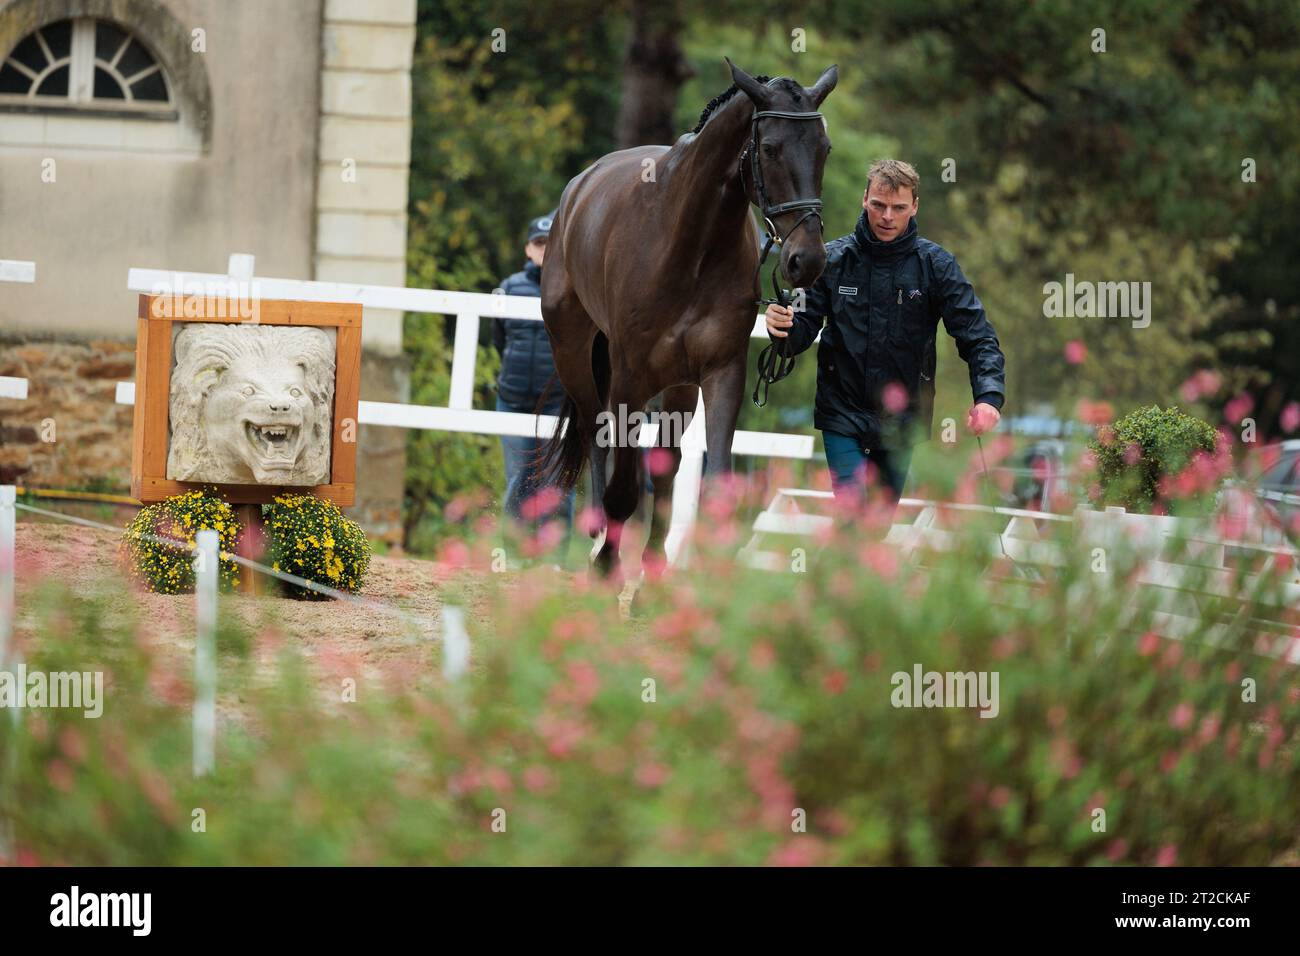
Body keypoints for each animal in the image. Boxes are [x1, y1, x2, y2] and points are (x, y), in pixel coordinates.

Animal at [539, 58, 837, 582]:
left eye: (824, 149)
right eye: (770, 148)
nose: (808, 260)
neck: (691, 245)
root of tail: (579, 188)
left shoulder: (721, 372)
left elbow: (709, 478)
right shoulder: (631, 377)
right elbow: (624, 484)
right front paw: (607, 567)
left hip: (677, 382)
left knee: (667, 460)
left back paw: (652, 563)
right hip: (572, 354)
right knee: (597, 434)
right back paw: (597, 540)